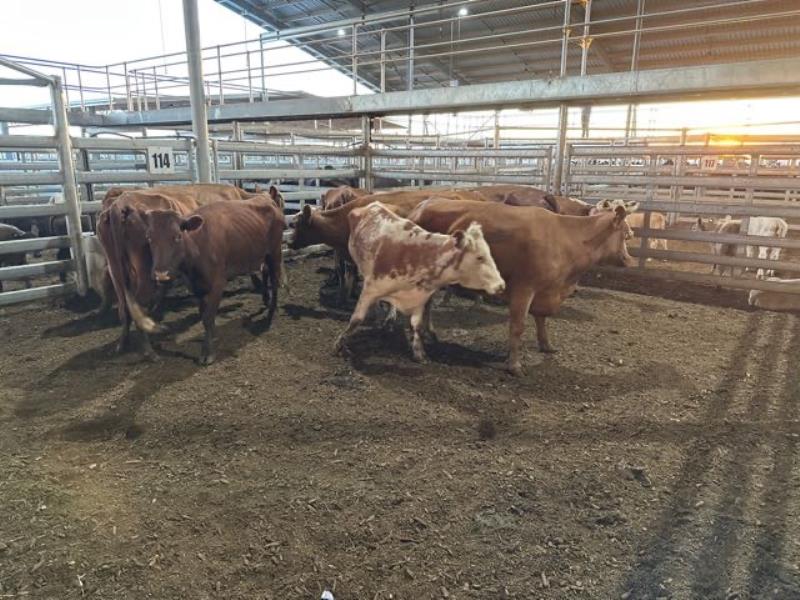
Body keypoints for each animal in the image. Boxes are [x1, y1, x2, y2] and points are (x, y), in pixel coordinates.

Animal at [139, 198, 284, 365]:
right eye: (149, 238)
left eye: (177, 236)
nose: (161, 275)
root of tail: (266, 200)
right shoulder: (195, 286)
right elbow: (204, 315)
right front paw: (213, 337)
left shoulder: (218, 283)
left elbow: (208, 318)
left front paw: (208, 353)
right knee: (266, 273)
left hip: (274, 252)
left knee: (275, 280)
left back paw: (271, 313)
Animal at [334, 201, 505, 362]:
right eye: (480, 257)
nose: (501, 285)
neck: (418, 255)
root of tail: (374, 204)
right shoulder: (371, 288)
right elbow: (356, 319)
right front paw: (340, 346)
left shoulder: (419, 296)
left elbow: (416, 324)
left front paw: (419, 352)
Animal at [409, 198, 638, 375]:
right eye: (625, 233)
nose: (632, 261)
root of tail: (422, 204)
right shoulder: (524, 288)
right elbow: (518, 327)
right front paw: (514, 365)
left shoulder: (545, 290)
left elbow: (542, 320)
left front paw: (546, 345)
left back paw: (430, 332)